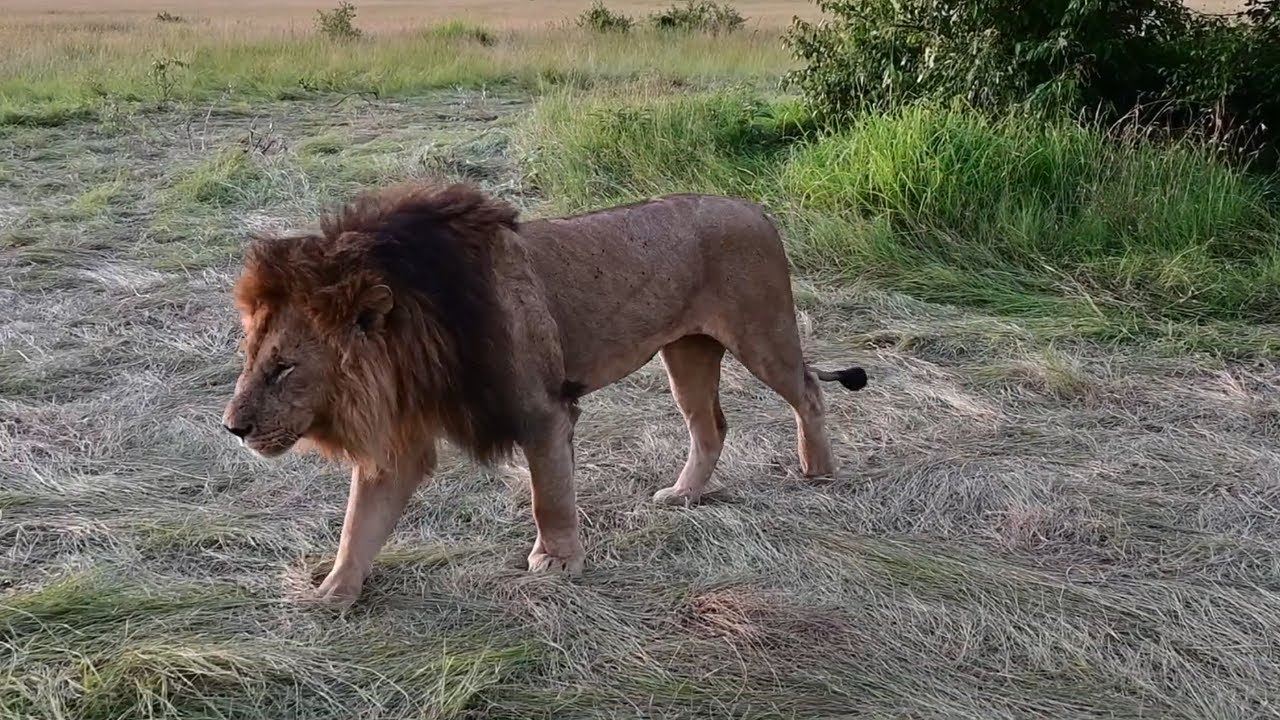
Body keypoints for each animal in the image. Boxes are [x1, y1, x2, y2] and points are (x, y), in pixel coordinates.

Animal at [221, 181, 867, 607]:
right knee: (710, 426)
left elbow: (548, 496)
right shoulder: (400, 435)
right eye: (250, 359)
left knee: (808, 391)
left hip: (762, 335)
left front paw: (556, 562)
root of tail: (753, 207)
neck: (417, 340)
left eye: (284, 368)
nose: (233, 428)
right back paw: (683, 495)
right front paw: (331, 593)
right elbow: (361, 523)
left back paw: (818, 471)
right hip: (687, 352)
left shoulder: (543, 412)